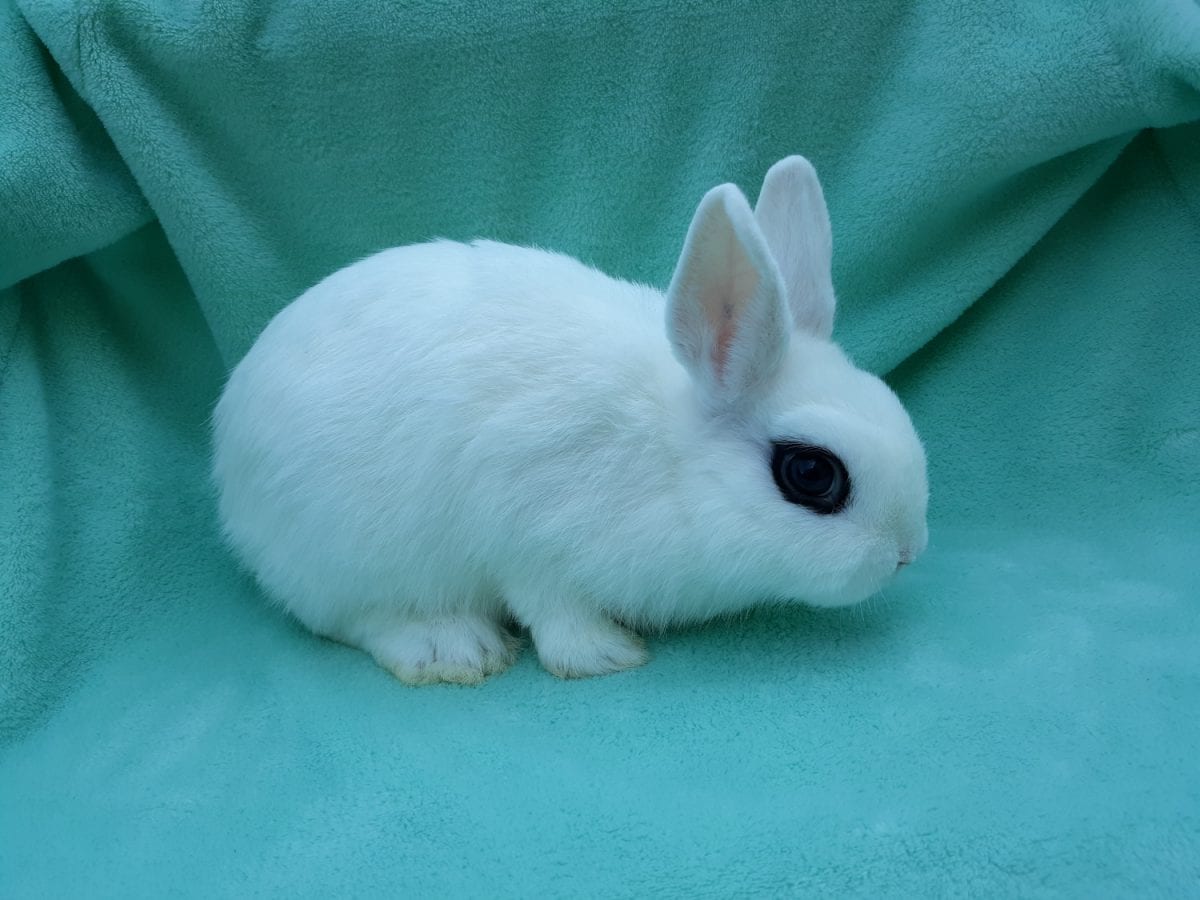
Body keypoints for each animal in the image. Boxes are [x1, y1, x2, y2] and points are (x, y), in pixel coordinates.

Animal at [212, 156, 929, 684]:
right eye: (811, 473)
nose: (906, 554)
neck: (669, 456)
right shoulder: (527, 532)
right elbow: (551, 608)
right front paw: (605, 656)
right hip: (350, 551)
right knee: (355, 618)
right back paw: (453, 650)